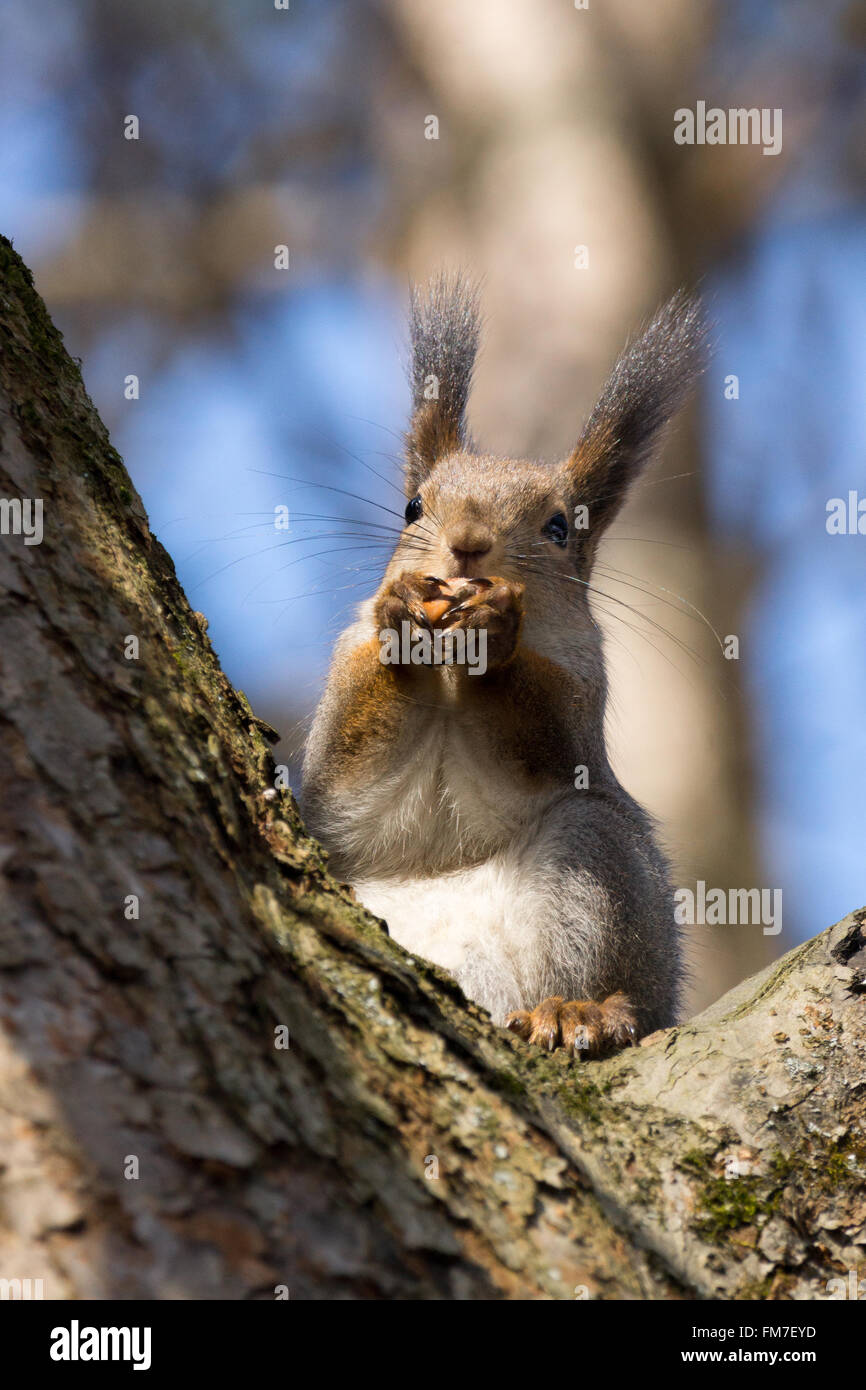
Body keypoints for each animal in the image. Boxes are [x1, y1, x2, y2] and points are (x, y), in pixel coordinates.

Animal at [302, 273, 704, 1057]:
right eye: (412, 506)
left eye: (559, 526)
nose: (467, 544)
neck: (447, 672)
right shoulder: (340, 686)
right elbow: (341, 764)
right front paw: (401, 618)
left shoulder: (582, 689)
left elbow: (543, 734)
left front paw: (496, 632)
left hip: (598, 866)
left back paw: (584, 1013)